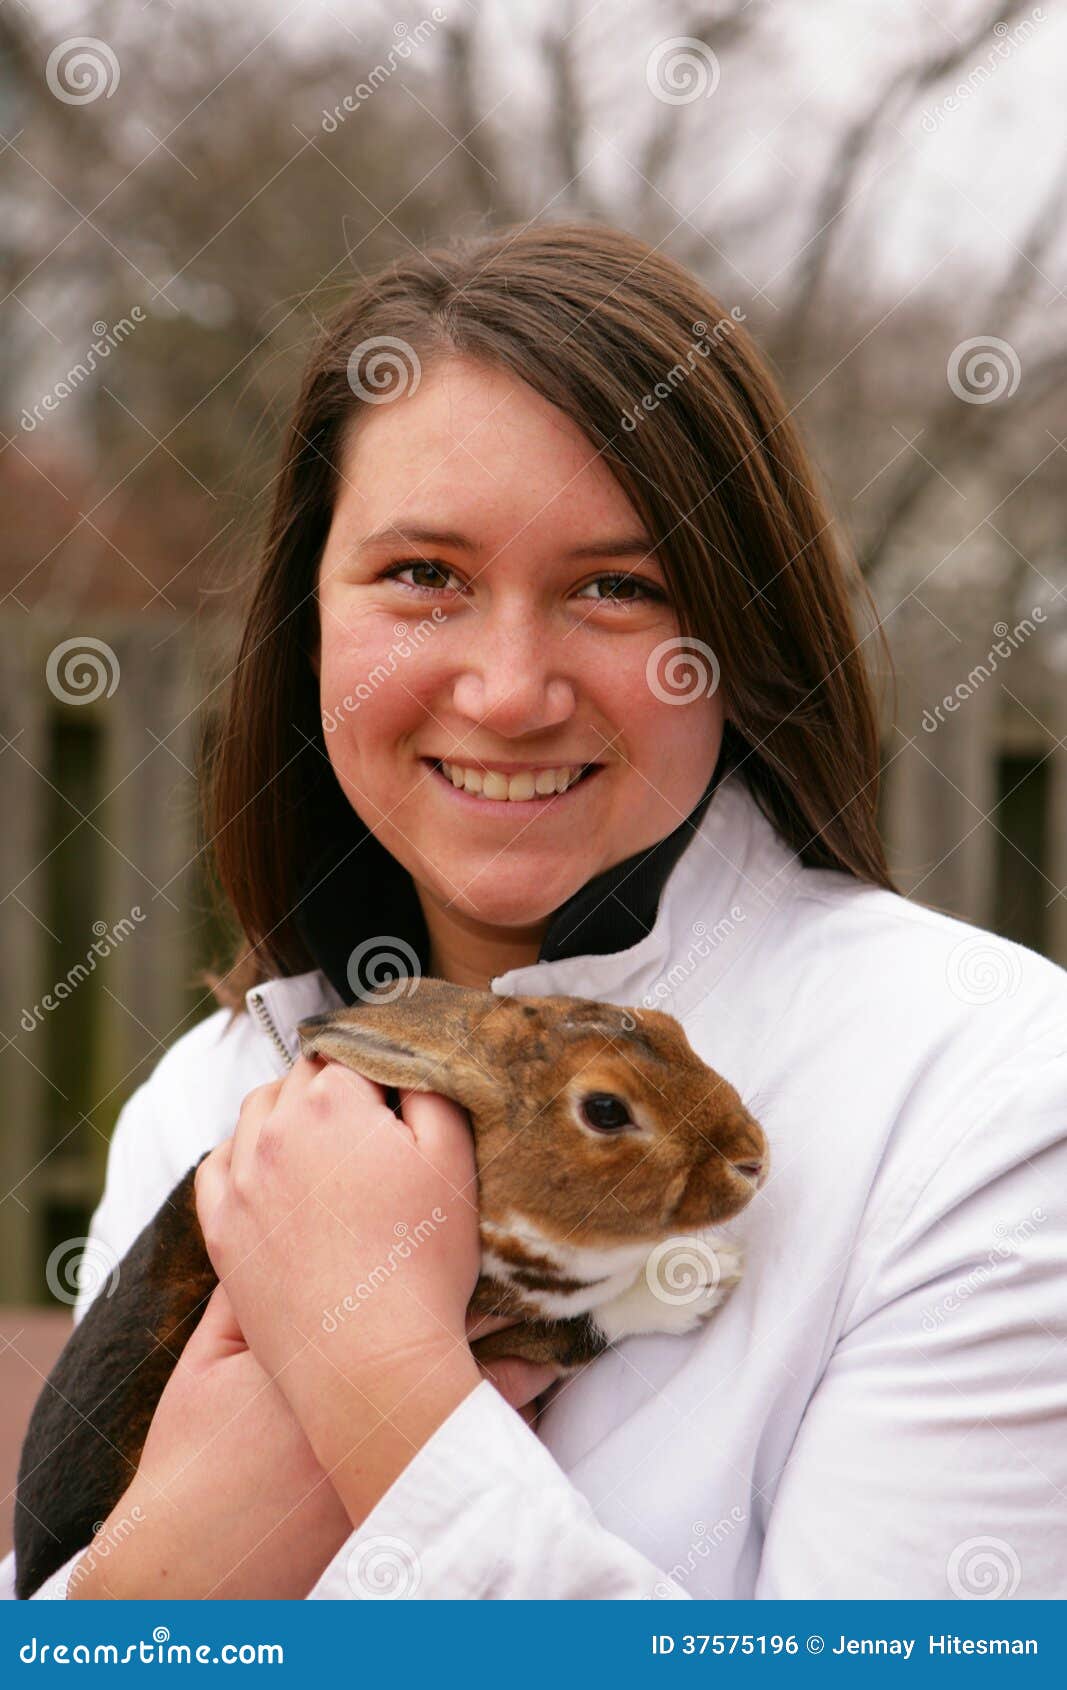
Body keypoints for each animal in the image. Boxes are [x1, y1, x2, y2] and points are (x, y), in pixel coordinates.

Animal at [14, 978, 767, 1598]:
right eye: (606, 1110)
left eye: (668, 1026)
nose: (752, 1157)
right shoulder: (502, 1333)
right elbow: (586, 1323)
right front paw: (701, 1274)